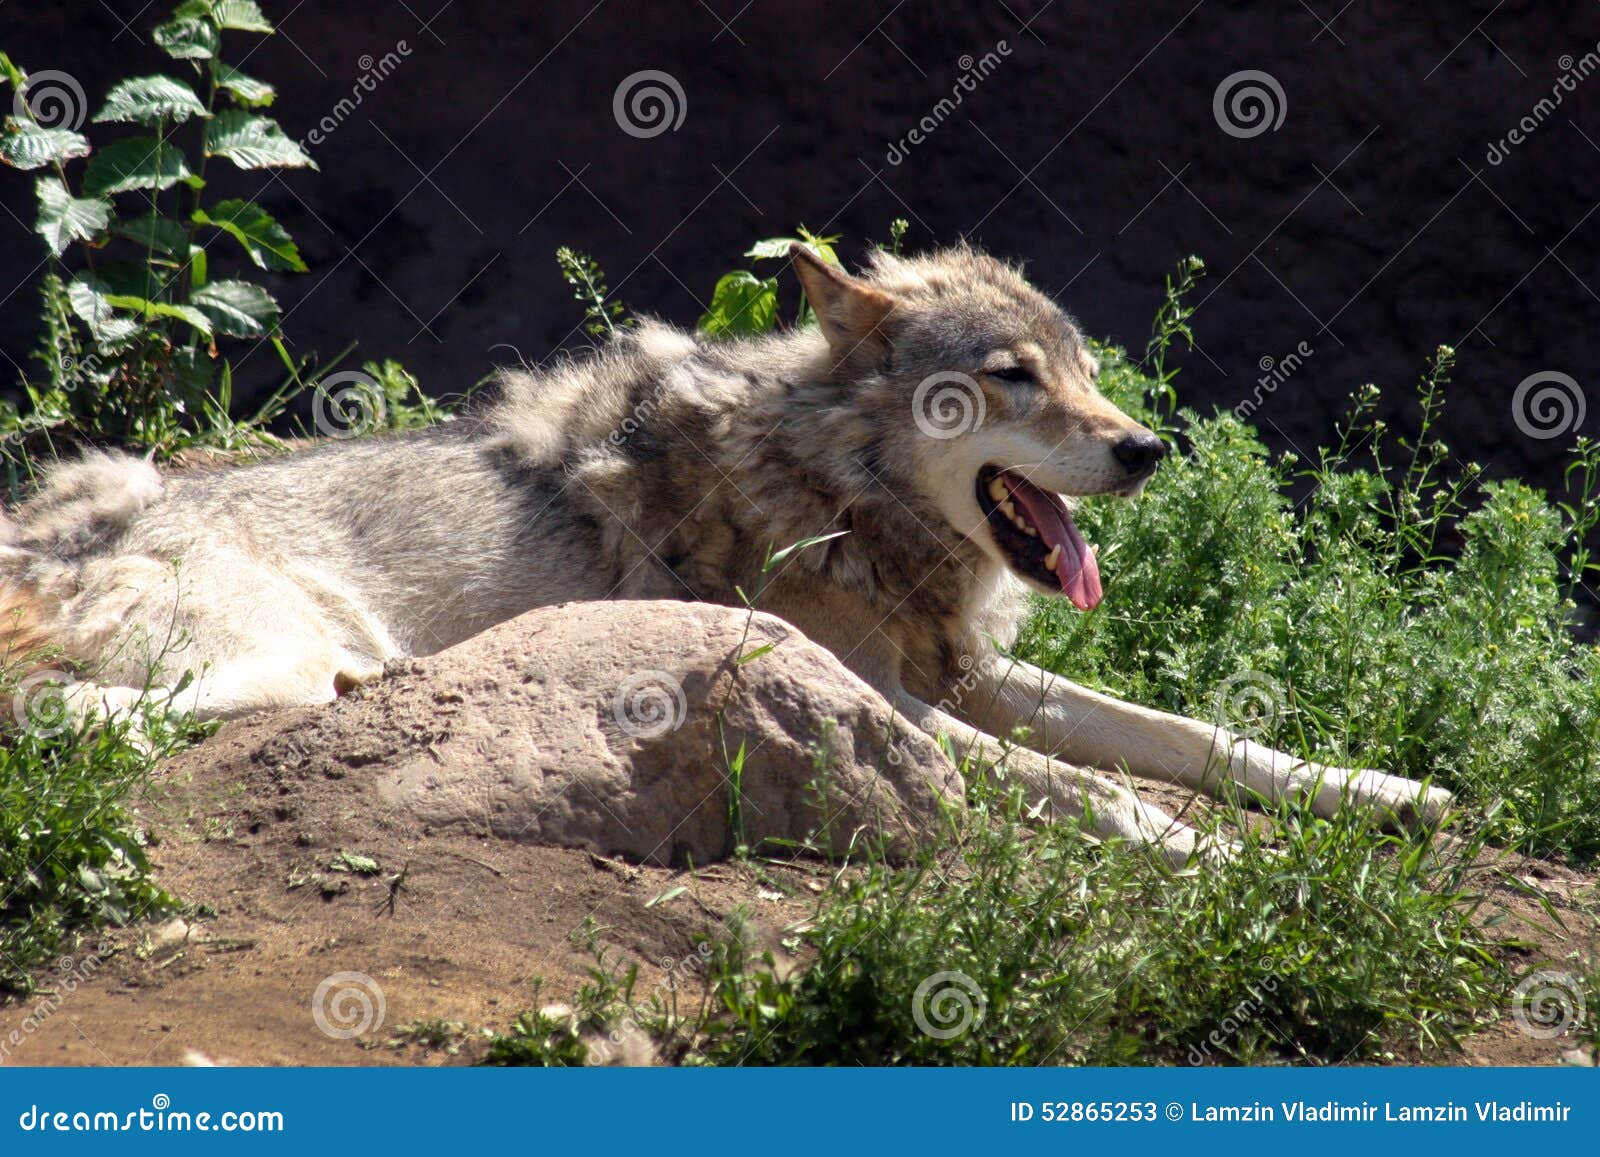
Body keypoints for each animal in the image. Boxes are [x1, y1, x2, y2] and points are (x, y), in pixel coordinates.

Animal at [0, 243, 1449, 863]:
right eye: (1012, 376)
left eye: (1087, 372)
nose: (1148, 449)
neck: (833, 489)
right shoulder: (896, 689)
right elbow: (1084, 780)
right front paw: (1203, 848)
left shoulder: (960, 669)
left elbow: (1193, 732)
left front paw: (1380, 789)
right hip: (289, 651)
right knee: (105, 713)